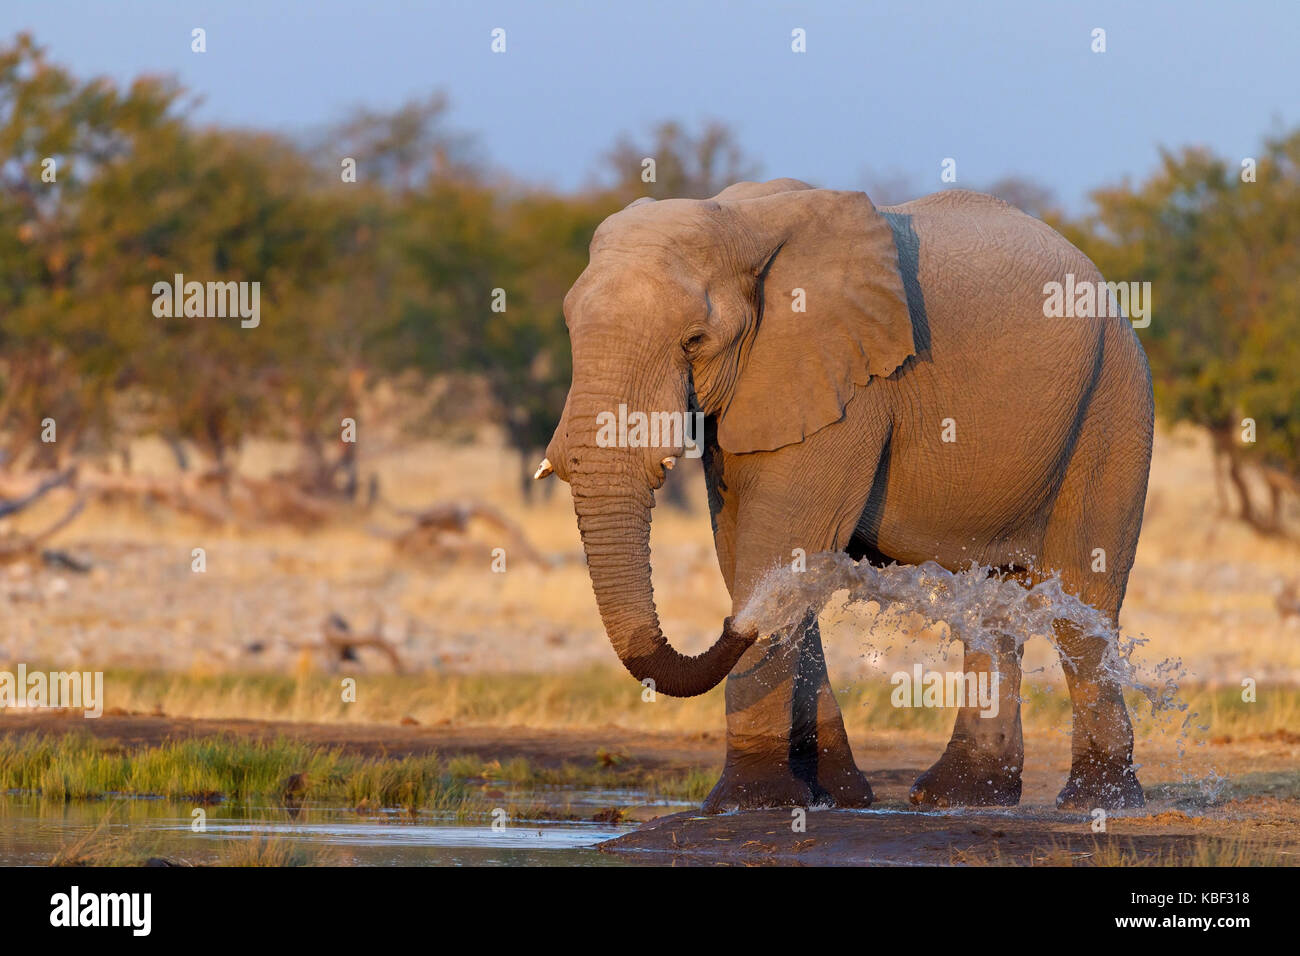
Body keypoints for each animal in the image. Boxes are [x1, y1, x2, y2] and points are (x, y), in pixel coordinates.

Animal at [537, 178, 1153, 813]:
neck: (743, 220)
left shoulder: (851, 385)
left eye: (695, 340)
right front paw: (831, 795)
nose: (733, 625)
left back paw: (1097, 800)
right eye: (569, 329)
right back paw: (964, 794)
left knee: (1083, 603)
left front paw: (749, 802)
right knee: (990, 600)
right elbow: (746, 550)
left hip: (1114, 402)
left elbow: (779, 546)